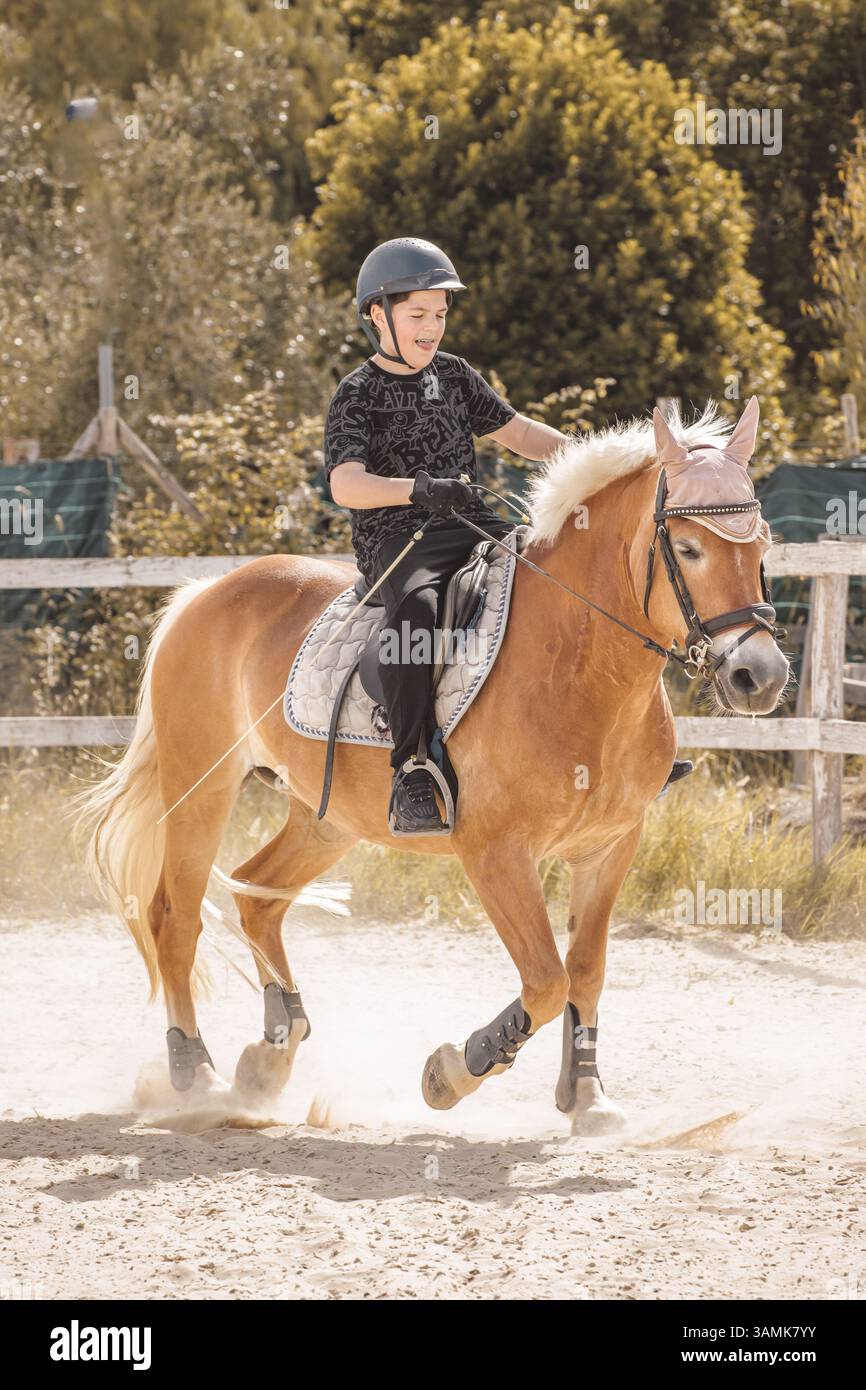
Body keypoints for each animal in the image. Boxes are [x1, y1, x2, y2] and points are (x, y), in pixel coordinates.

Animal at [81, 395, 789, 1134]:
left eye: (762, 546)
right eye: (690, 549)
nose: (759, 676)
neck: (576, 664)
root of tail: (206, 592)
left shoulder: (610, 847)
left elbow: (586, 970)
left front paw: (589, 1096)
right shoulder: (496, 852)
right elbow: (547, 979)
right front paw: (458, 1067)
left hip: (327, 819)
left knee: (256, 894)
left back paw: (270, 1056)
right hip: (202, 788)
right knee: (175, 917)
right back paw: (198, 1074)